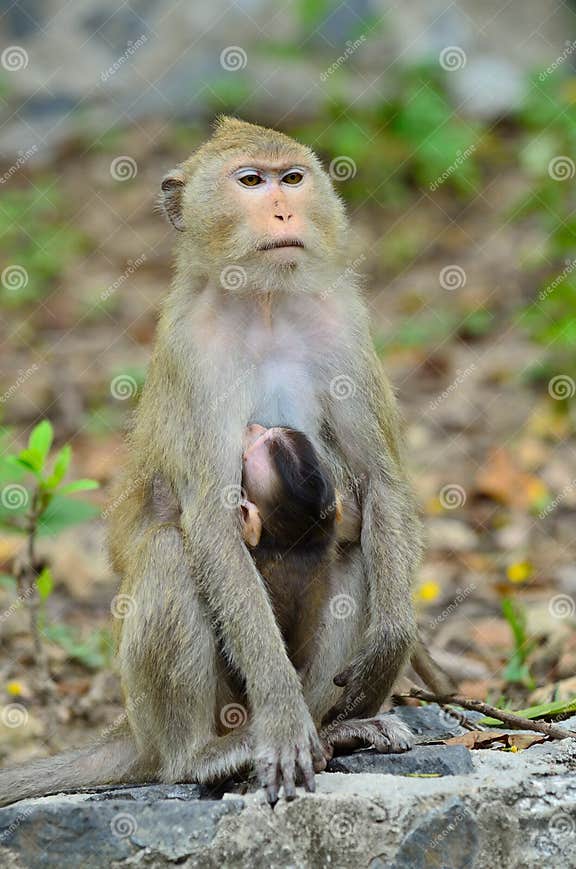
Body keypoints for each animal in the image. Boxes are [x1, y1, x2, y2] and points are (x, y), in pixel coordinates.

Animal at [0, 116, 420, 808]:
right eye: (249, 181)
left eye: (292, 178)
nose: (282, 208)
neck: (265, 302)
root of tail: (135, 731)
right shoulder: (194, 354)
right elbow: (210, 522)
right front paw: (282, 720)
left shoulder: (343, 325)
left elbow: (379, 482)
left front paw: (389, 648)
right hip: (181, 708)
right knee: (172, 552)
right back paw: (202, 754)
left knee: (351, 551)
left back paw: (339, 728)